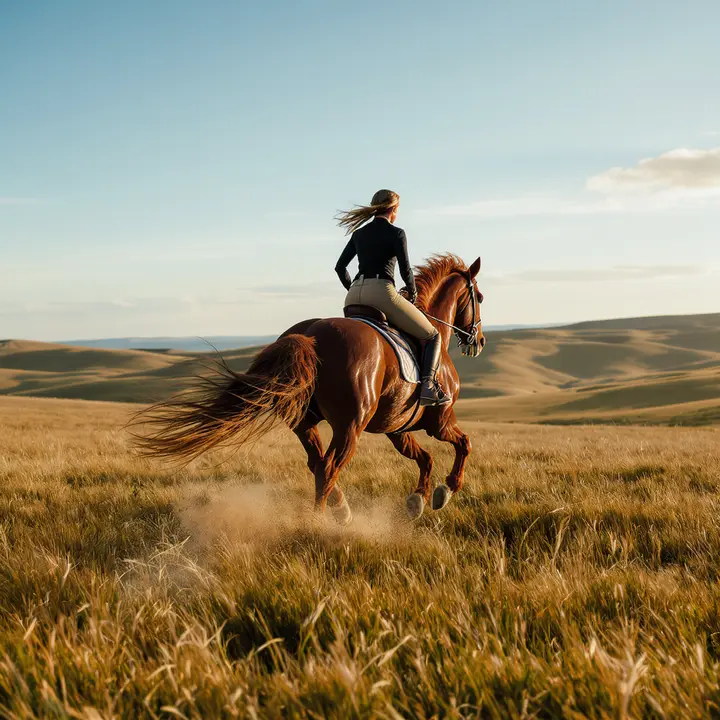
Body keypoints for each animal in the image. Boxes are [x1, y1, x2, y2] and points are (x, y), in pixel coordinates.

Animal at [133, 253, 485, 523]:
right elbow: (464, 444)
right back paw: (320, 522)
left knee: (316, 464)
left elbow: (424, 458)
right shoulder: (439, 421)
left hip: (304, 422)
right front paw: (444, 491)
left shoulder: (397, 429)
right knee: (327, 467)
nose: (479, 340)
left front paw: (417, 500)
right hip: (349, 427)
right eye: (479, 298)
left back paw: (340, 508)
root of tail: (311, 334)